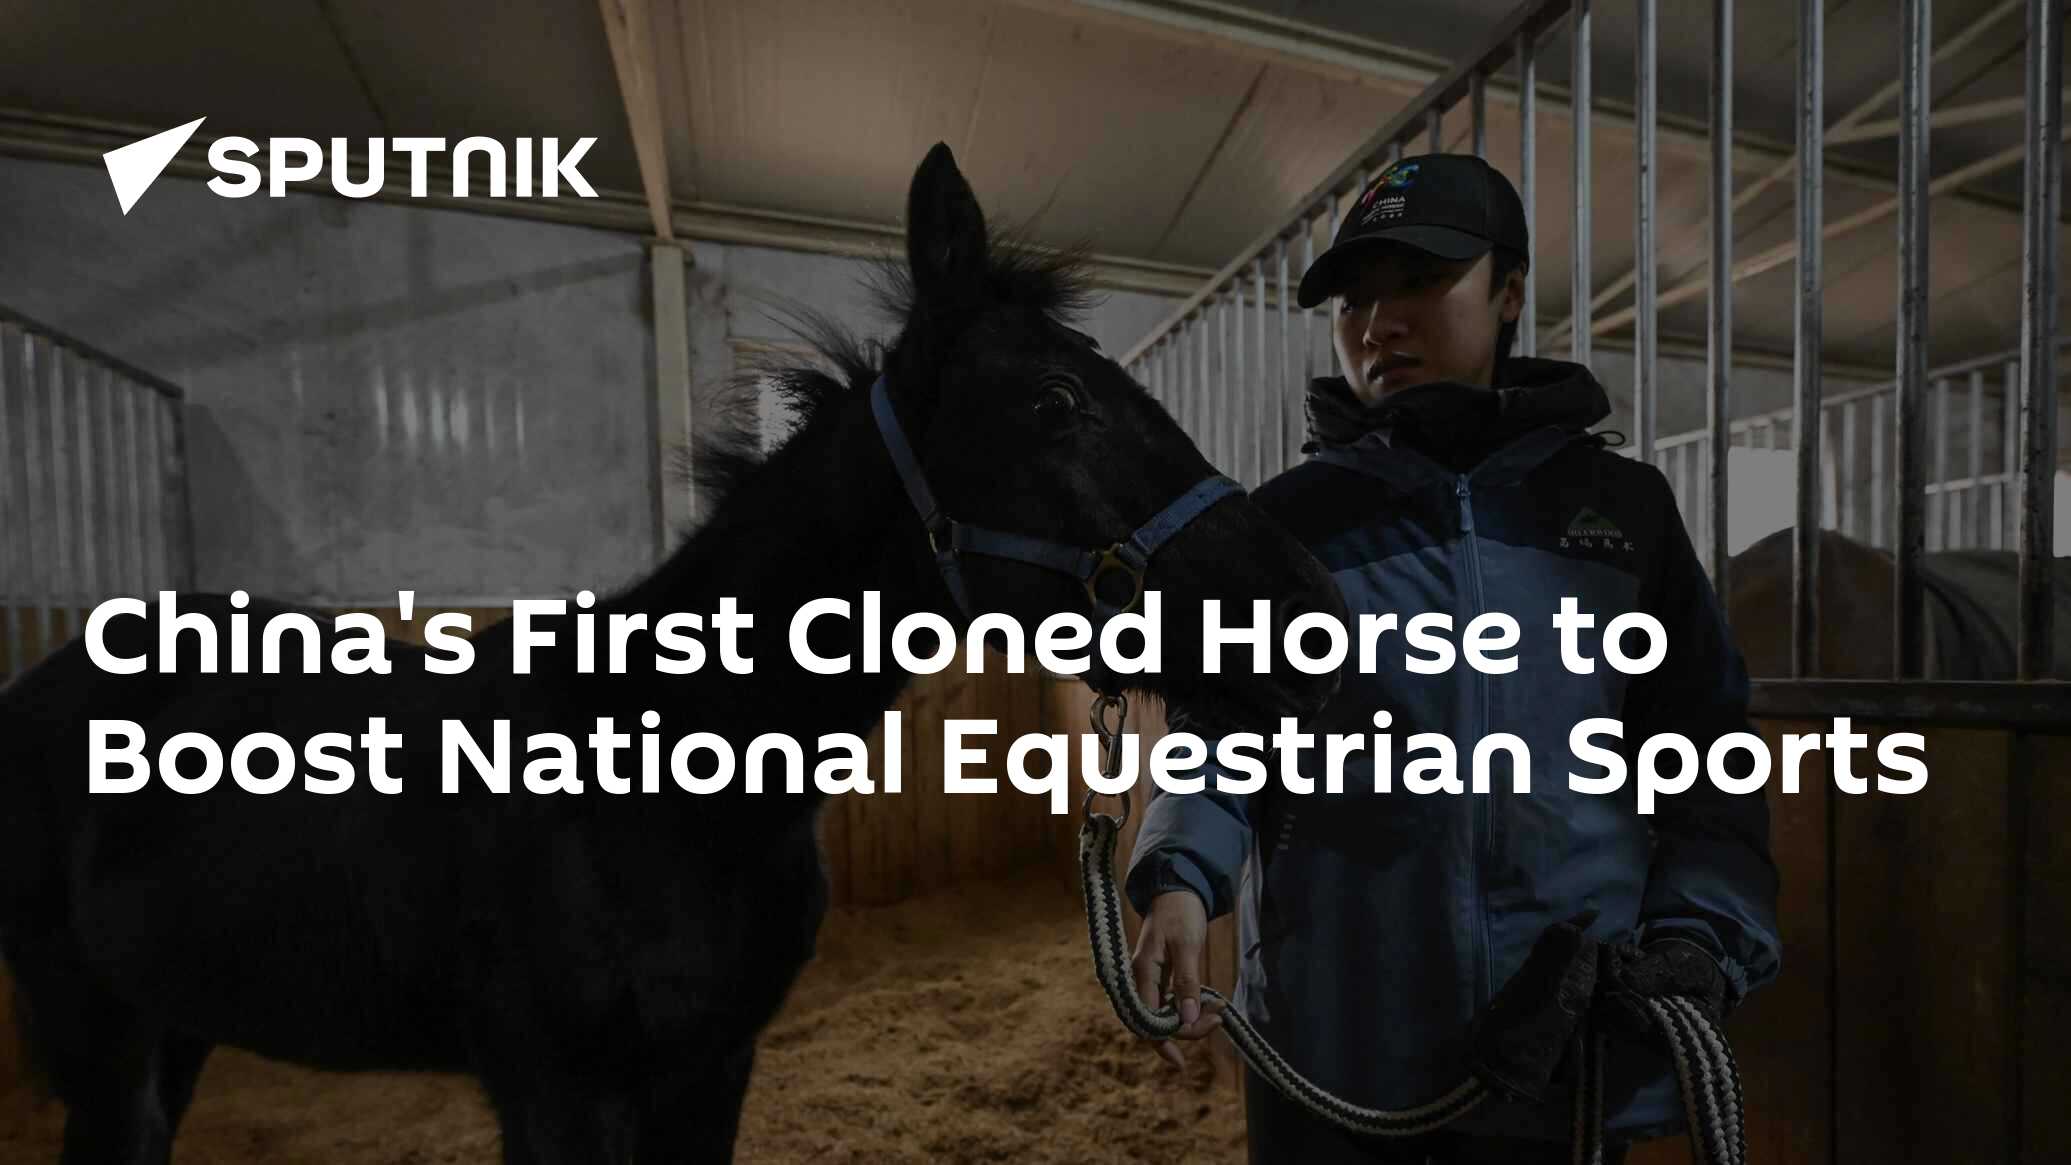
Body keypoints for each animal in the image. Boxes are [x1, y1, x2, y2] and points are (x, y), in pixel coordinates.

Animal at [0, 143, 1345, 1164]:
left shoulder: (714, 1065)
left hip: (173, 1020)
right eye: (1056, 404)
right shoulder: (557, 1092)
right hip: (100, 1037)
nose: (1309, 601)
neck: (656, 767)